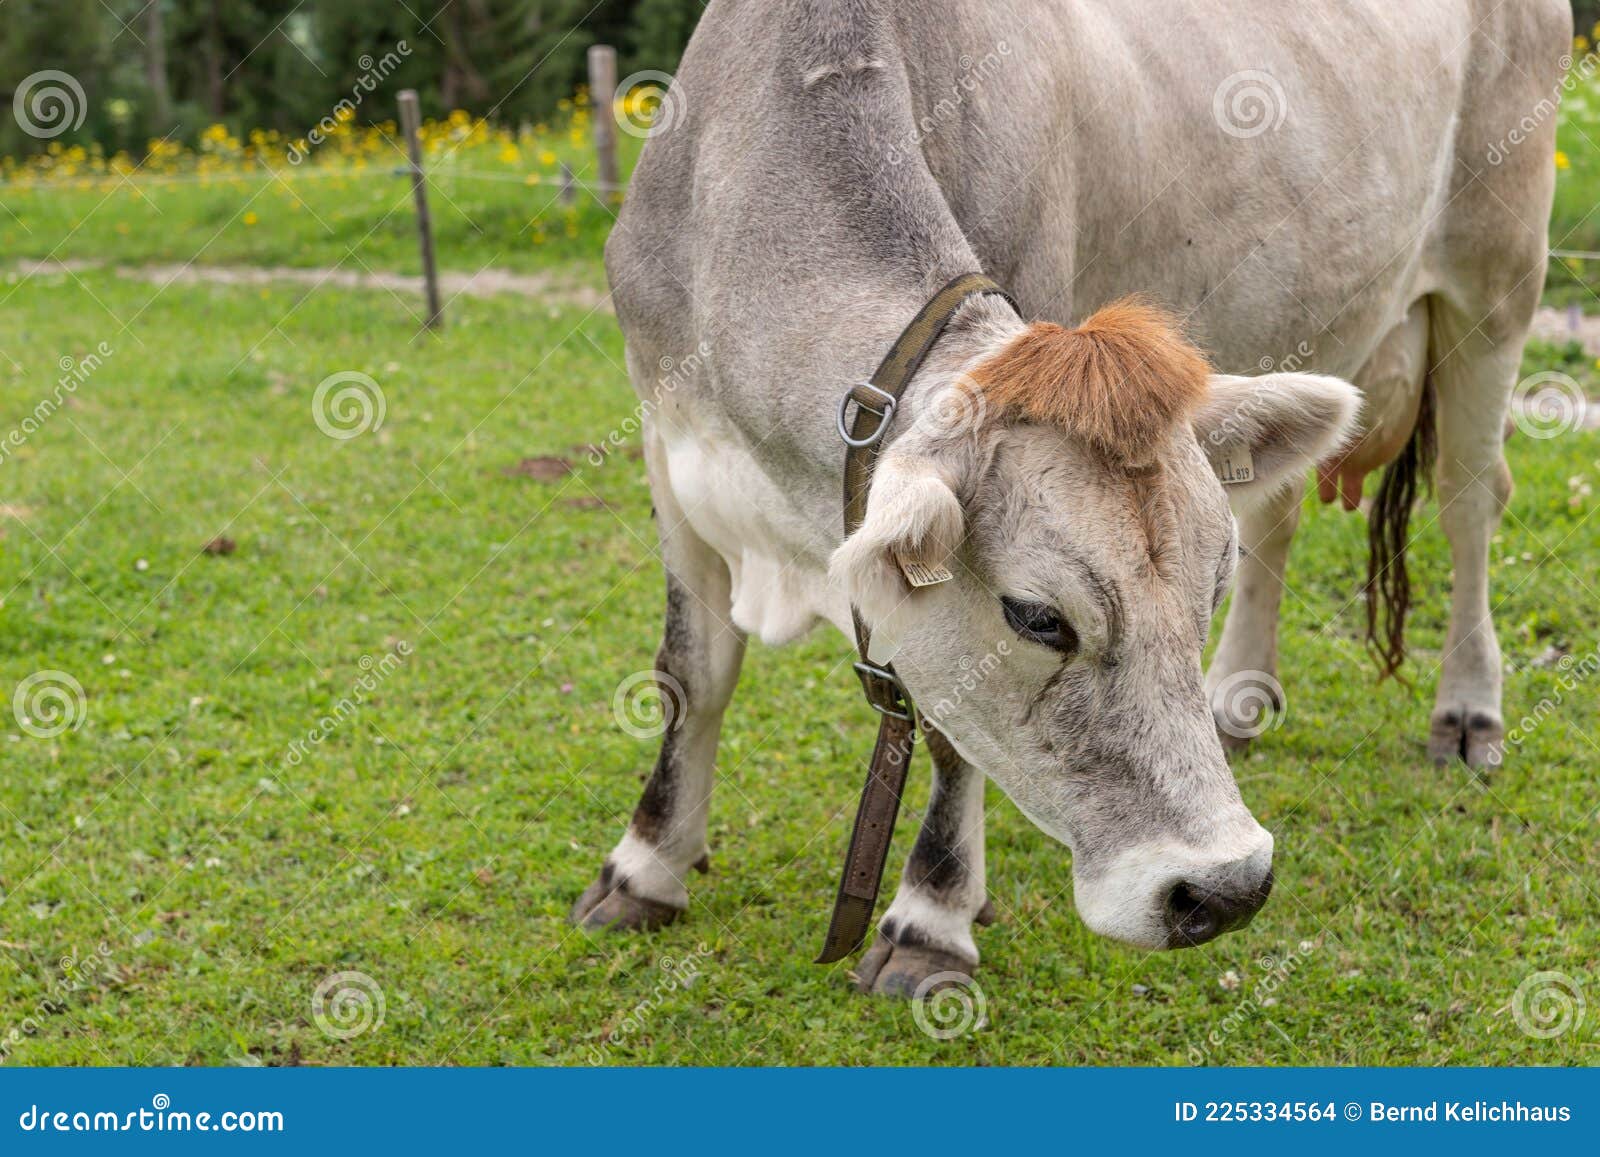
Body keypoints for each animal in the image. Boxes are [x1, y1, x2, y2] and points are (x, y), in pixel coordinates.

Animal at [576, 0, 1570, 995]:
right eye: (1037, 617)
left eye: (1200, 599)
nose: (1228, 888)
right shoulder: (668, 446)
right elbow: (690, 671)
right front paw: (645, 865)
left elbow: (949, 733)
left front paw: (932, 918)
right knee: (1278, 513)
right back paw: (1237, 701)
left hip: (1499, 282)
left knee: (1470, 499)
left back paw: (1468, 710)